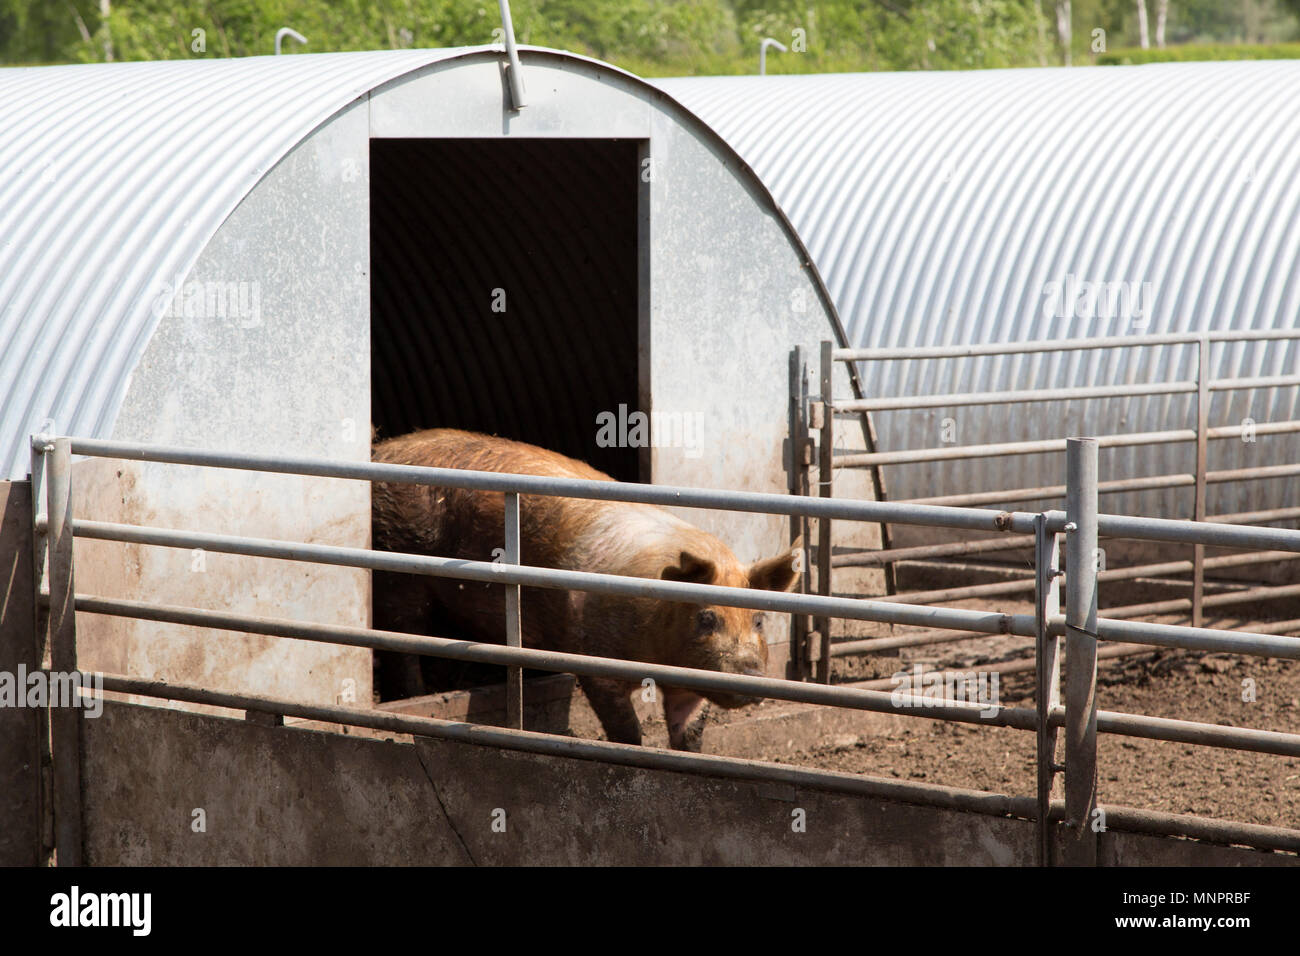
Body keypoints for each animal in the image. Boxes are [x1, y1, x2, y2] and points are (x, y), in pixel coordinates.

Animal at [371, 428, 801, 751]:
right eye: (706, 619)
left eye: (759, 621)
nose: (750, 671)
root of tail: (383, 448)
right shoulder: (595, 659)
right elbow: (625, 728)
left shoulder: (688, 681)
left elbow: (689, 731)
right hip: (398, 563)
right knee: (403, 637)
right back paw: (412, 693)